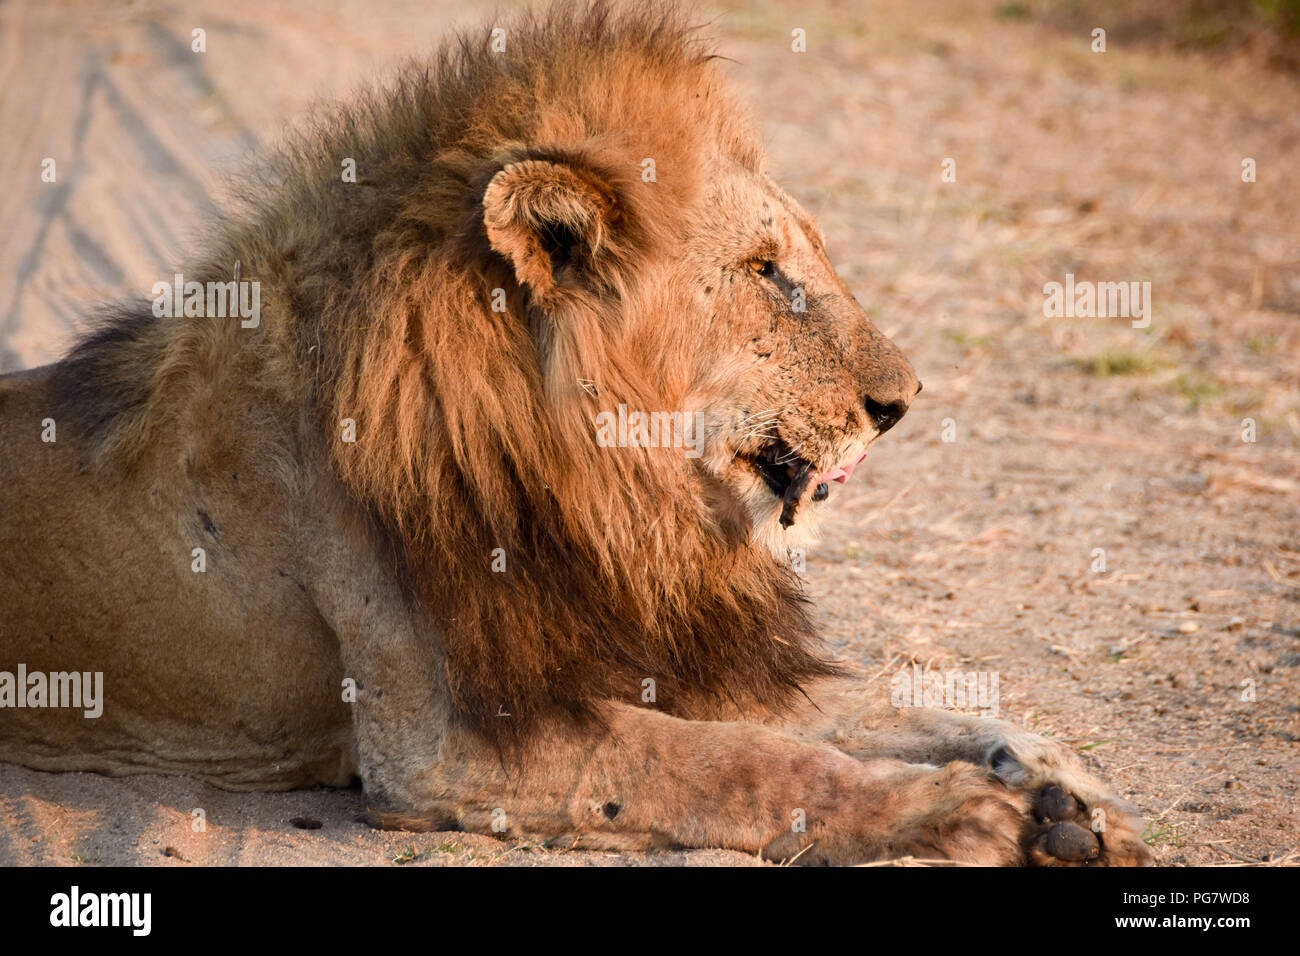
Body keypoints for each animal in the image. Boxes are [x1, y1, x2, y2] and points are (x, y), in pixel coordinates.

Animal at [0, 0, 1149, 865]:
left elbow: (865, 702)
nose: (903, 399)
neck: (600, 484)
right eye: (763, 271)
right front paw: (961, 813)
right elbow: (727, 762)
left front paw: (1054, 779)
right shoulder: (451, 741)